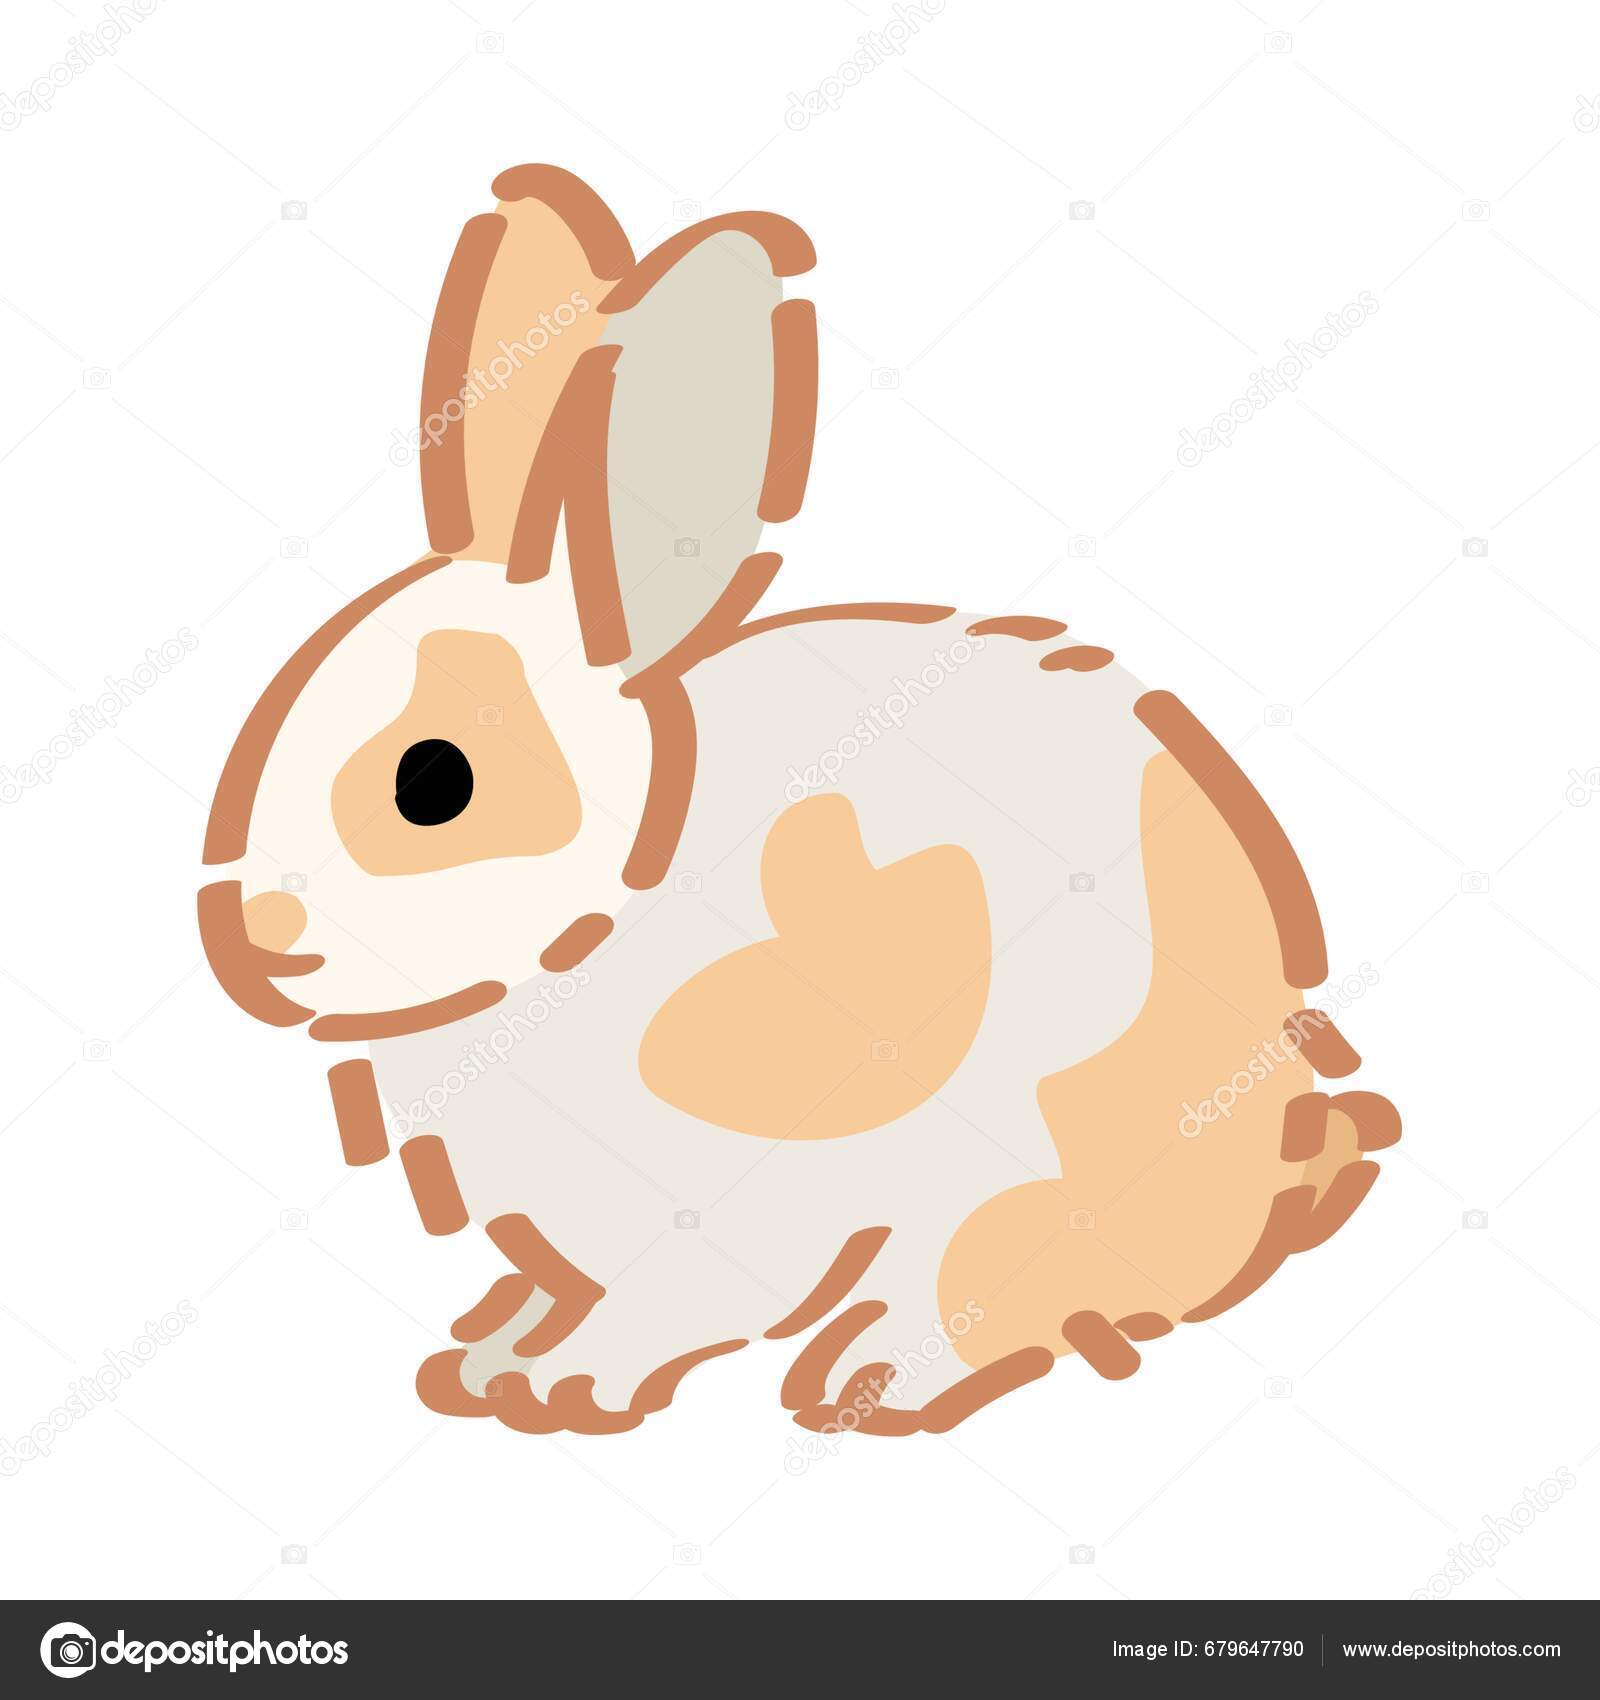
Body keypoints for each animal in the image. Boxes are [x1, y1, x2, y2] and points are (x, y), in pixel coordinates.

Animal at [198, 164, 1399, 1437]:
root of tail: (1283, 1158)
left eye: (434, 781)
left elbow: (686, 1293)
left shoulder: (734, 1188)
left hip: (1042, 1155)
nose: (260, 939)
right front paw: (492, 1361)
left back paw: (872, 1375)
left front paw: (575, 1381)